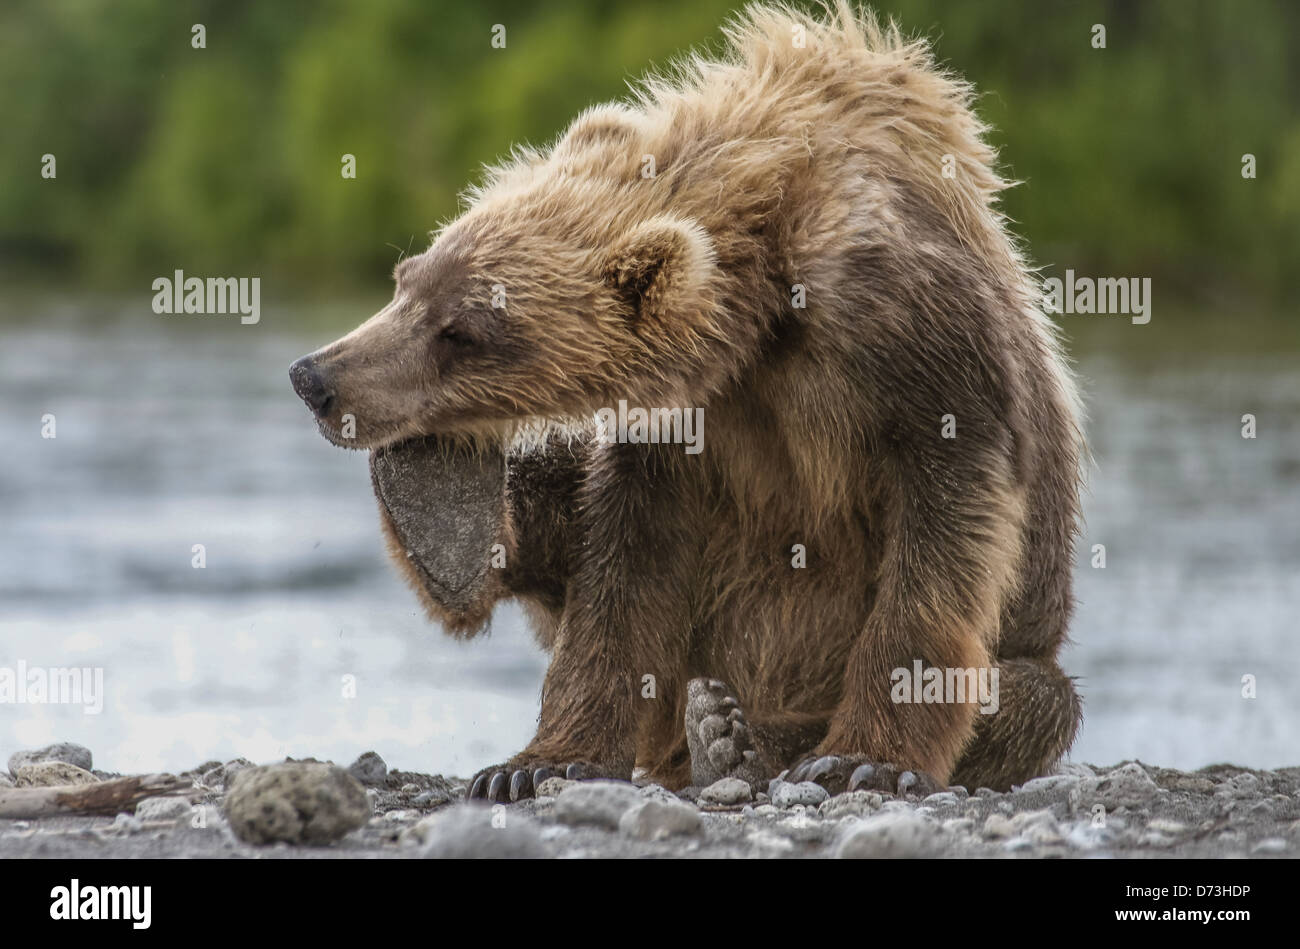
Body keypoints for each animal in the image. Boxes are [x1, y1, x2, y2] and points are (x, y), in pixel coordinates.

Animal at [290, 1, 1084, 800]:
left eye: (462, 331)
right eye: (407, 278)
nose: (318, 377)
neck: (760, 313)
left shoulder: (915, 349)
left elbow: (938, 542)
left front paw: (866, 756)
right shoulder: (677, 427)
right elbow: (623, 571)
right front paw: (538, 761)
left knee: (1037, 699)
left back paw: (739, 735)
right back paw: (441, 516)